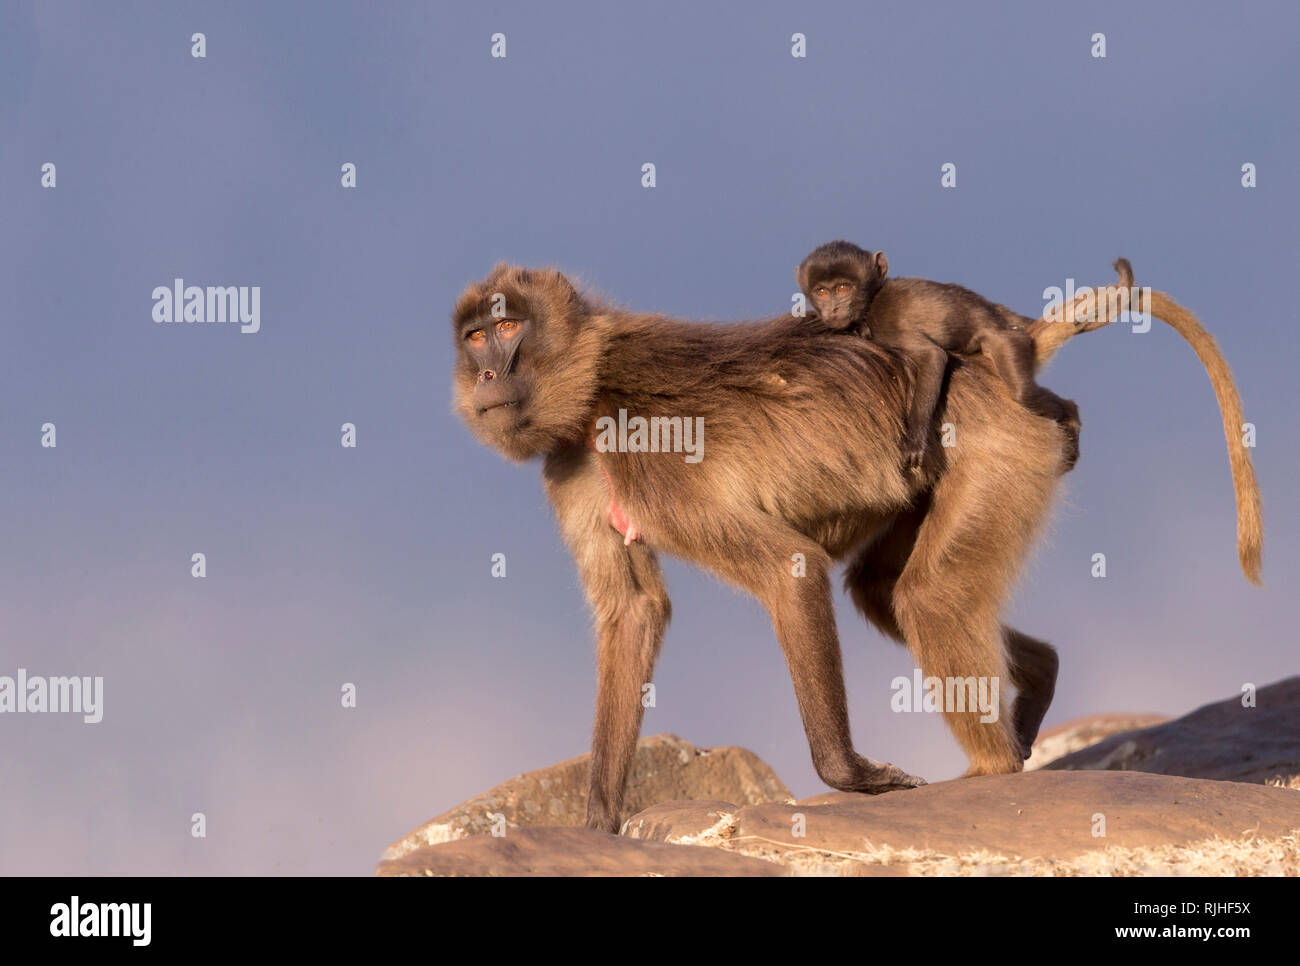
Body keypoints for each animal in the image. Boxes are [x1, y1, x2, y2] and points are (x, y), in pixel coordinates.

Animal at [797, 240, 1082, 471]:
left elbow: (933, 357)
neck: (871, 302)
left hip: (1008, 339)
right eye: (821, 292)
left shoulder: (886, 322)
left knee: (1024, 393)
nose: (834, 309)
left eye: (843, 288)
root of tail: (1000, 314)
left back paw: (1070, 413)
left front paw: (915, 440)